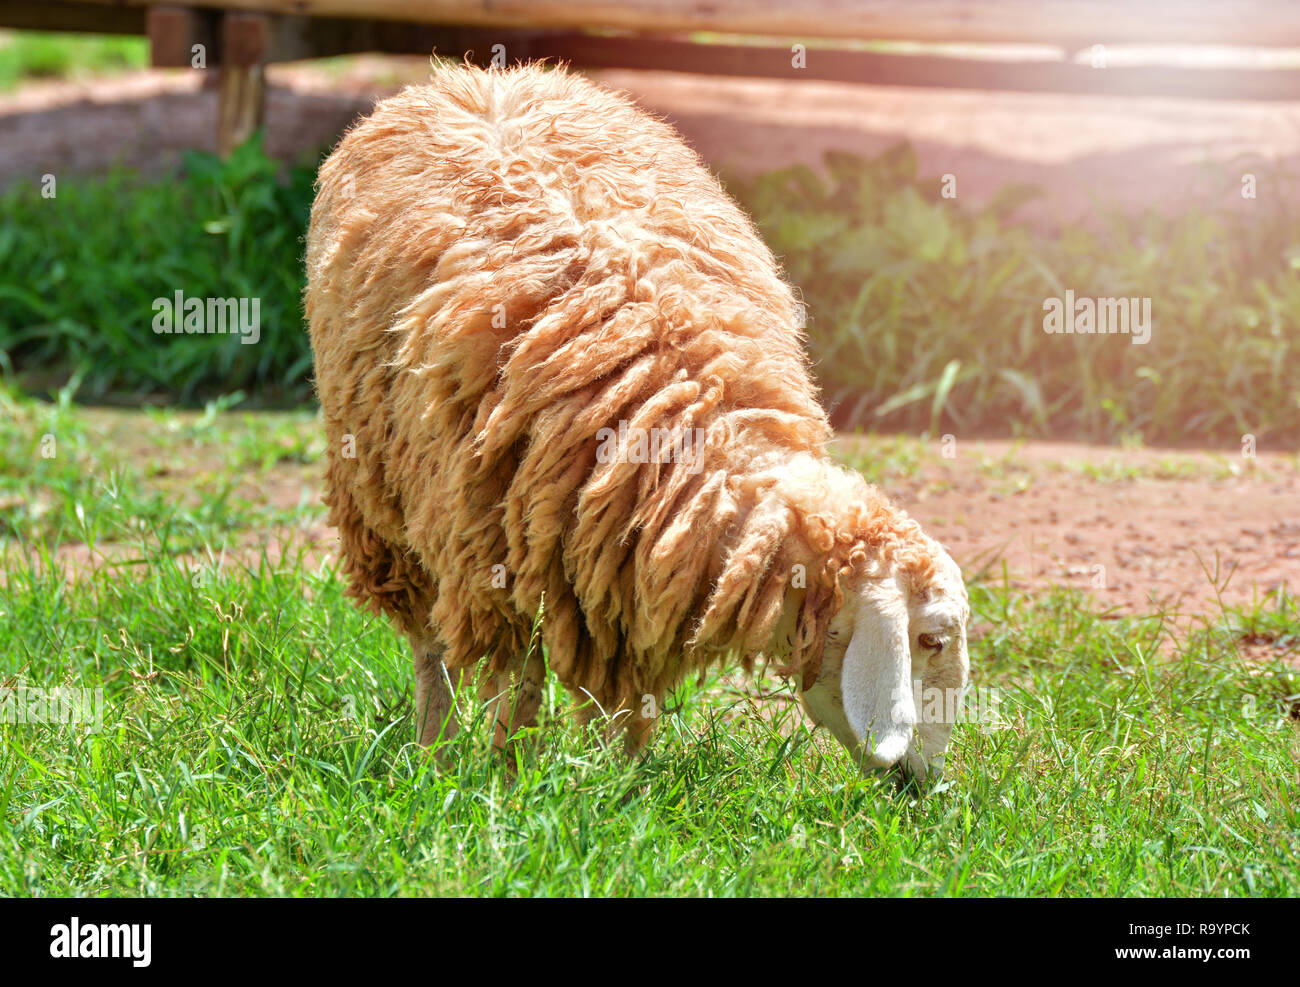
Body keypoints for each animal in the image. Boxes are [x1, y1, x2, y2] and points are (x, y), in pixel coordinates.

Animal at [304, 62, 970, 780]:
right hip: (381, 502)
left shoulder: (622, 570)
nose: (929, 784)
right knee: (431, 644)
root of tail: (474, 76)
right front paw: (507, 778)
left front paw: (606, 785)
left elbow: (617, 706)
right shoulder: (497, 553)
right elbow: (517, 676)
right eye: (931, 639)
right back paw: (435, 751)